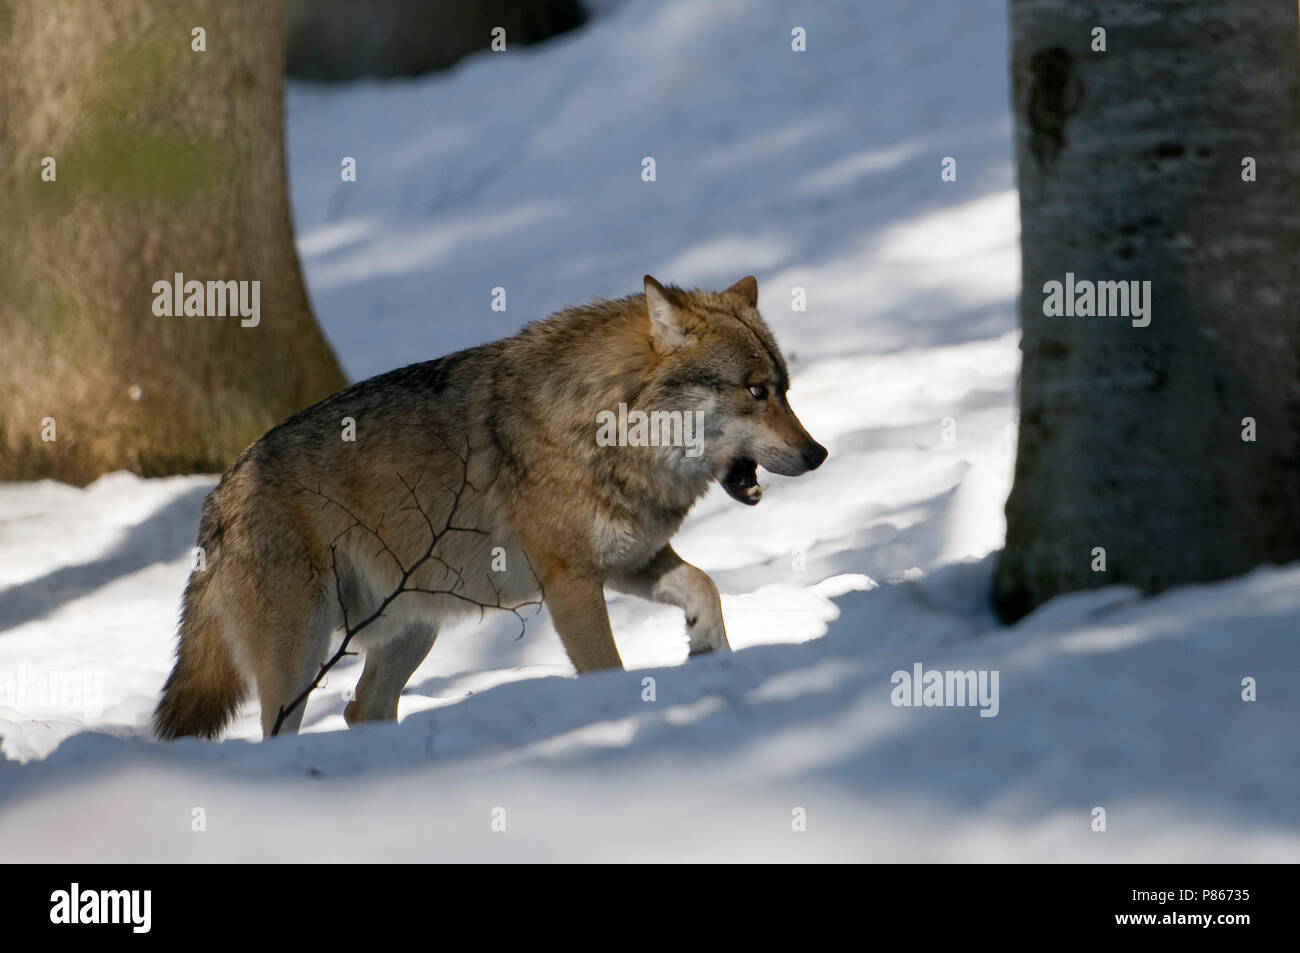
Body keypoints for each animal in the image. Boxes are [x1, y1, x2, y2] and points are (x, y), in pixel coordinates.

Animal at [154, 276, 827, 740]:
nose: (818, 454)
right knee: (286, 729)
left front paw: (709, 650)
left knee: (360, 708)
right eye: (755, 391)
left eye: (785, 390)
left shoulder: (630, 562)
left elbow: (706, 587)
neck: (605, 425)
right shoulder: (571, 585)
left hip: (412, 630)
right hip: (303, 655)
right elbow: (608, 668)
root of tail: (221, 491)